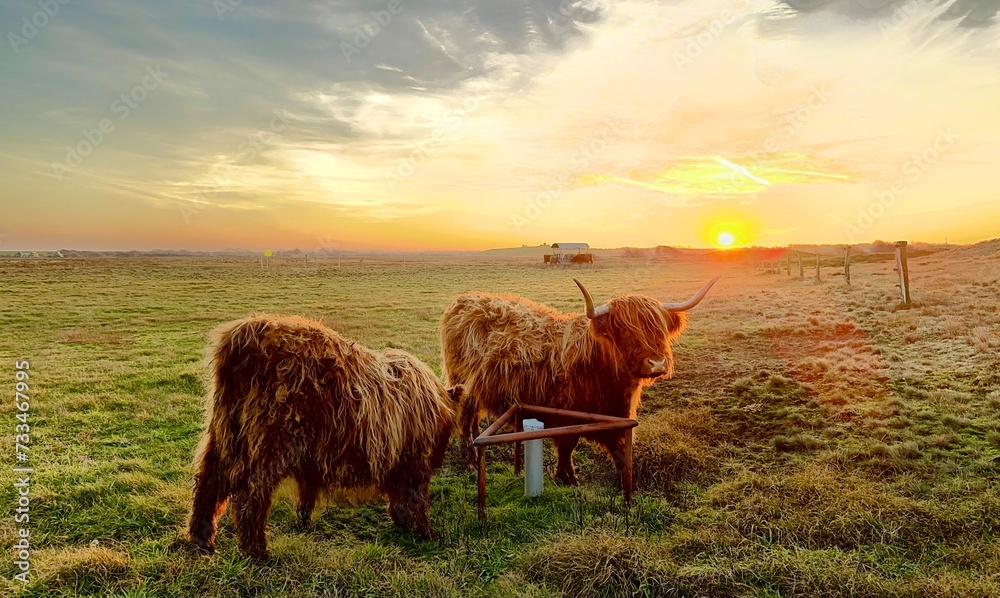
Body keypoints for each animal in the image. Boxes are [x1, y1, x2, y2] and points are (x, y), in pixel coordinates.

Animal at [187, 314, 460, 559]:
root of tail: (244, 334)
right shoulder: (415, 460)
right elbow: (417, 498)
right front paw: (426, 533)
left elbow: (399, 496)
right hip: (268, 443)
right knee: (249, 495)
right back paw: (256, 553)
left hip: (223, 433)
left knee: (208, 485)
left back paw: (201, 542)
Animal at [440, 276, 719, 487]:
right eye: (625, 330)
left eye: (659, 329)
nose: (657, 363)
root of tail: (464, 300)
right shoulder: (567, 414)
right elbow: (567, 446)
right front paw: (567, 478)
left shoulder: (615, 414)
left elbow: (619, 448)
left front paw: (625, 482)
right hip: (462, 381)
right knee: (465, 417)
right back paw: (469, 458)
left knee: (472, 416)